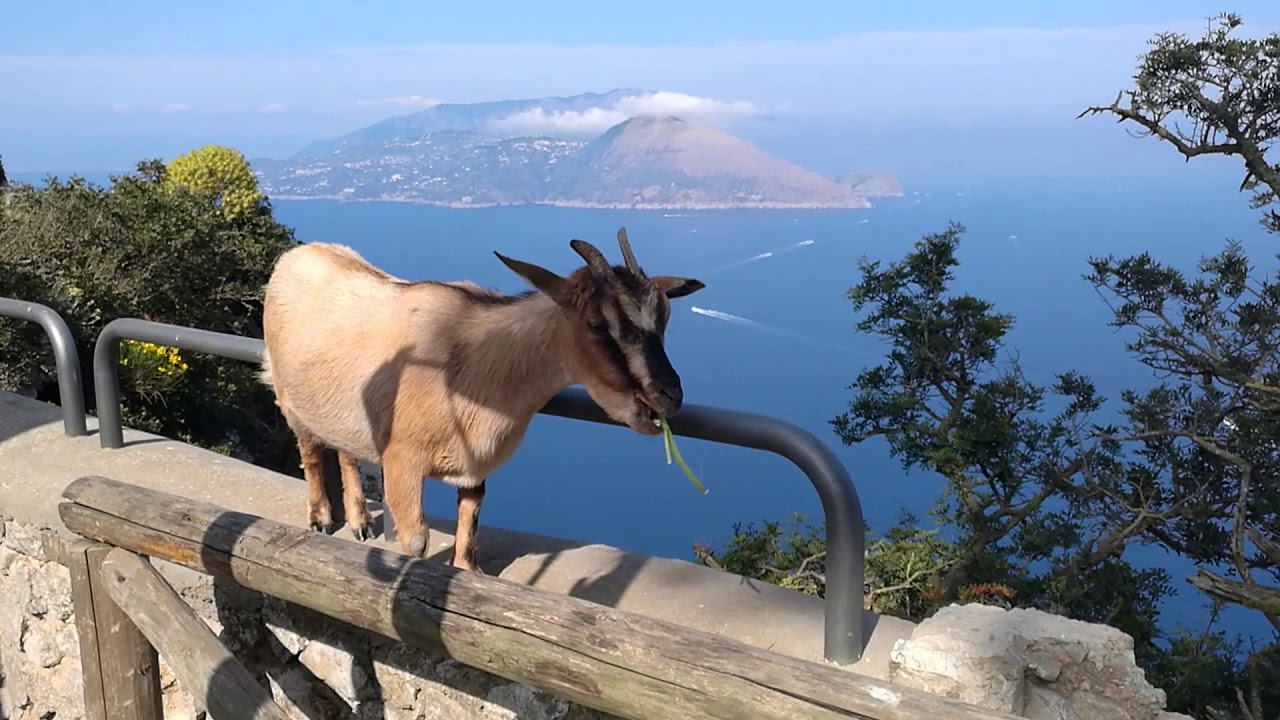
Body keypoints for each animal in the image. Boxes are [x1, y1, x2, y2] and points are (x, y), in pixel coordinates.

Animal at [259, 228, 706, 571]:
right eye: (597, 324)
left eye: (664, 318)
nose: (669, 396)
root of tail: (296, 255)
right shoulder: (401, 460)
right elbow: (416, 541)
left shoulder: (475, 466)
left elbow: (469, 529)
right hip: (286, 392)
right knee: (310, 449)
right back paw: (321, 516)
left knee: (346, 451)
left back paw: (360, 521)